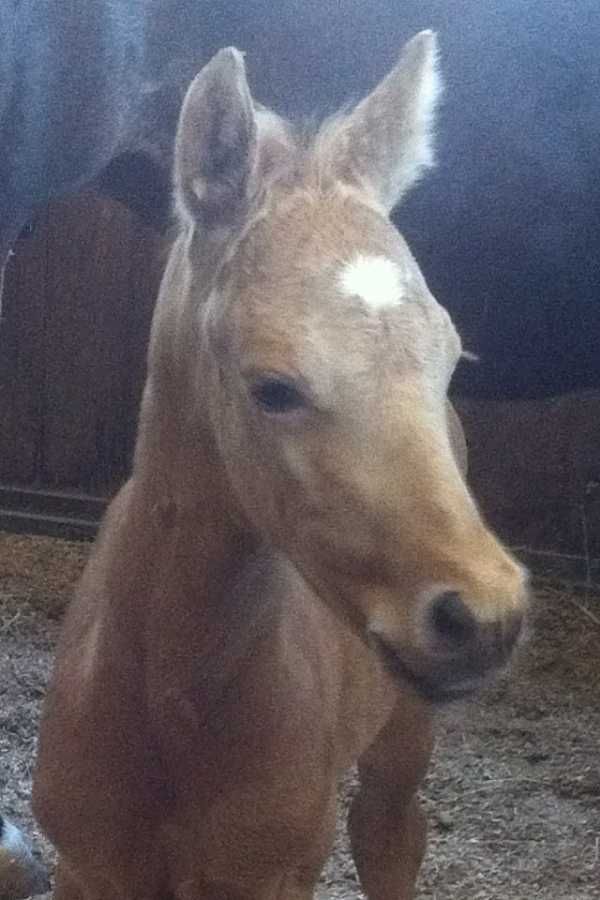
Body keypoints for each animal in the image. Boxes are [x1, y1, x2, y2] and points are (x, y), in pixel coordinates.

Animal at [32, 32, 528, 899]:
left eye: (448, 359)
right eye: (272, 387)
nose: (485, 615)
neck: (169, 705)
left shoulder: (271, 874)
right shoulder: (87, 867)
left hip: (404, 730)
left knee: (389, 831)